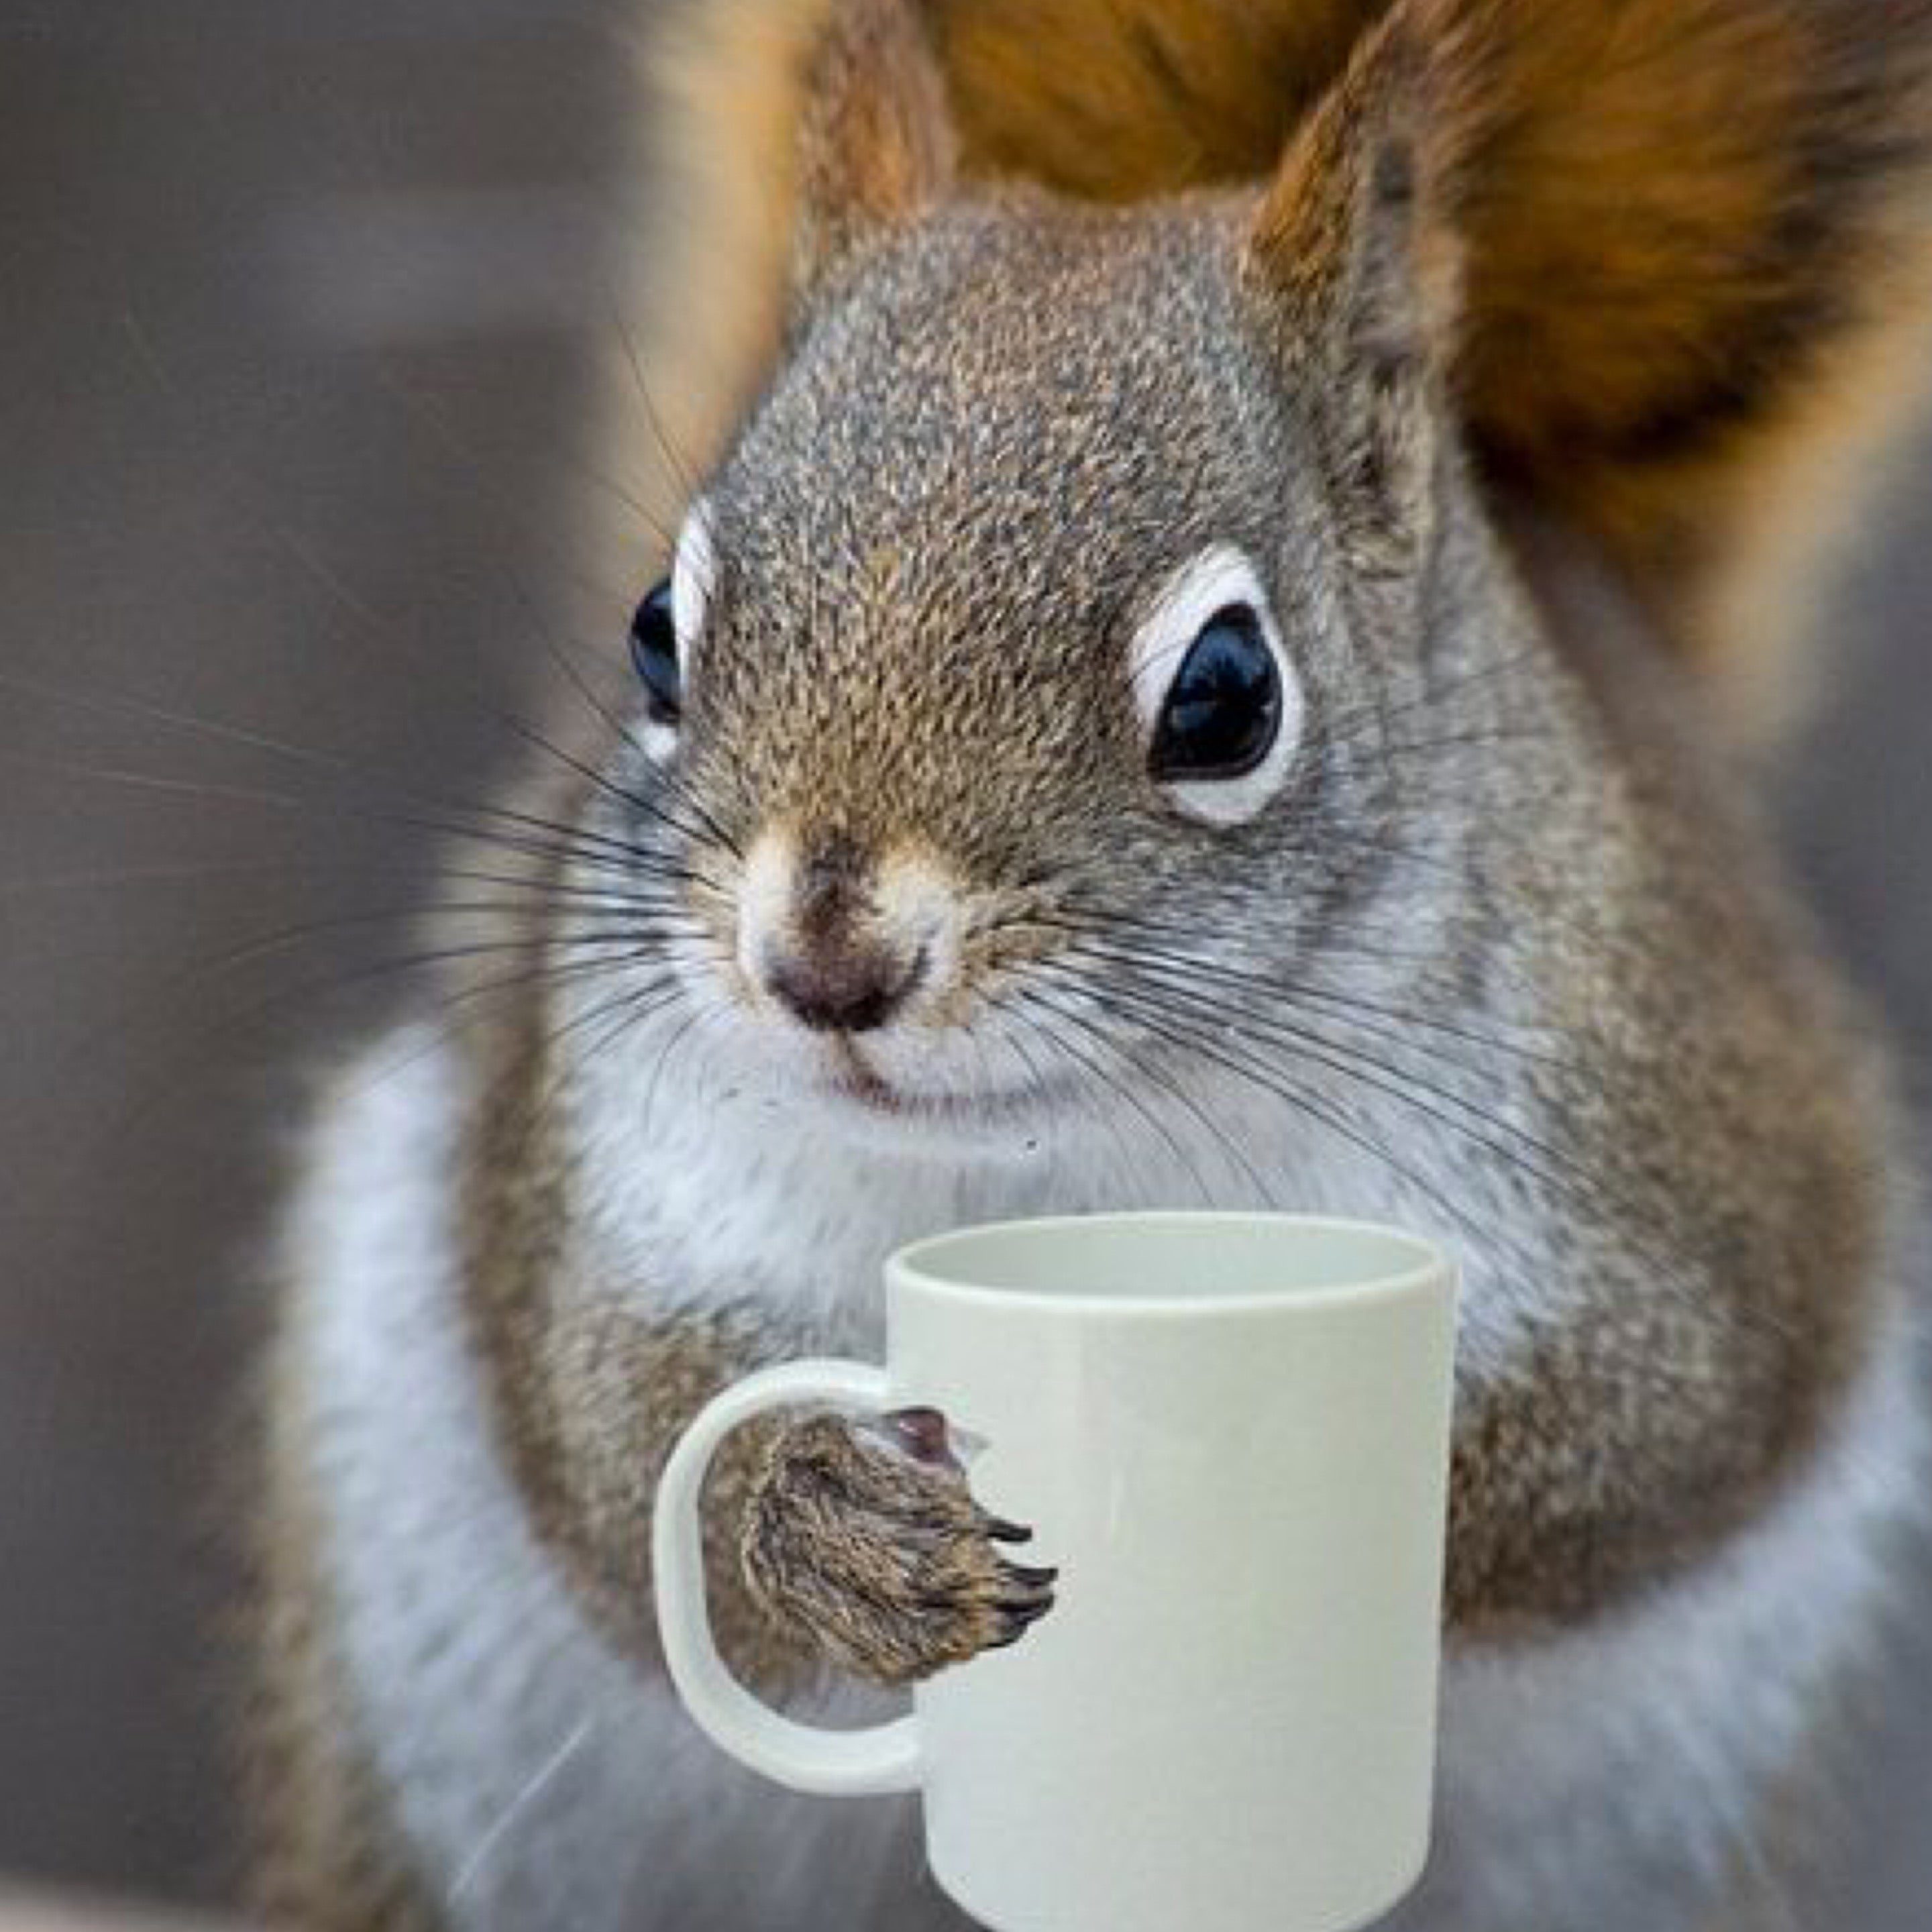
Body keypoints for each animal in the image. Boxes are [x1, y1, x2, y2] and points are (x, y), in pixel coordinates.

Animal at [246, 1, 1932, 1927]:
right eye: (656, 639)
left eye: (1228, 694)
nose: (824, 960)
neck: (1063, 1150)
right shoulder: (609, 1186)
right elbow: (622, 1432)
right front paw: (825, 1517)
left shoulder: (1671, 1194)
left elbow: (1636, 1442)